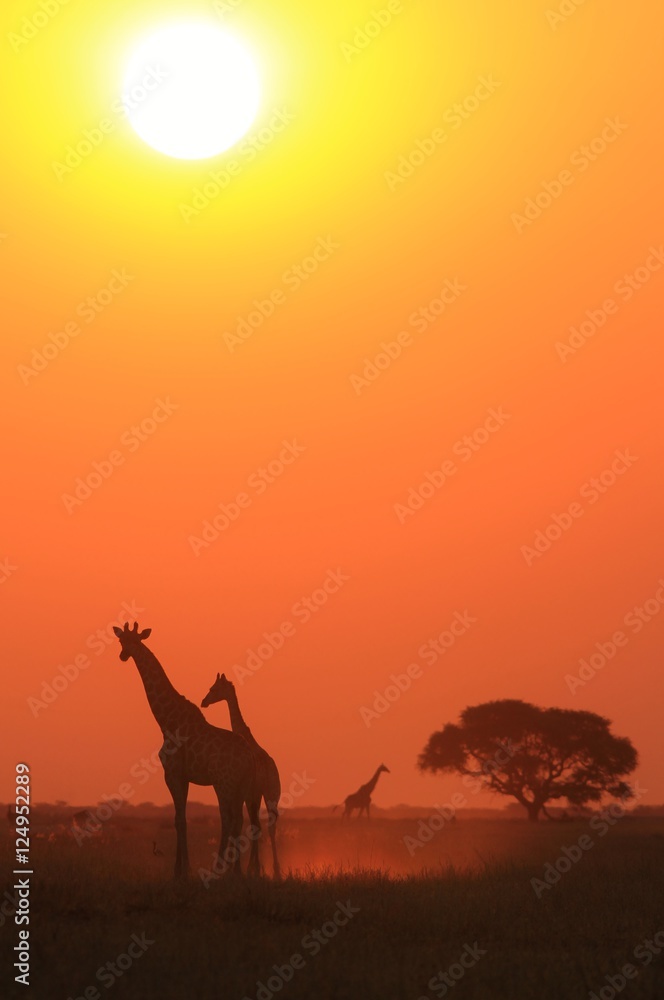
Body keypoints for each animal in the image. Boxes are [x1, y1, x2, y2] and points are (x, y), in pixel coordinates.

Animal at [113, 622, 261, 879]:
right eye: (122, 641)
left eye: (135, 640)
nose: (123, 655)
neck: (166, 720)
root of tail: (249, 758)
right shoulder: (184, 777)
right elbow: (181, 818)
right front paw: (183, 868)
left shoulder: (171, 774)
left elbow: (179, 820)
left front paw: (180, 871)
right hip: (241, 784)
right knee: (238, 819)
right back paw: (235, 872)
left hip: (224, 782)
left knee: (230, 818)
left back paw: (224, 870)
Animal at [201, 672, 282, 880]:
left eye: (213, 688)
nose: (204, 702)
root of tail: (272, 771)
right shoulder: (253, 794)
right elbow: (251, 826)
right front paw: (252, 867)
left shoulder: (247, 793)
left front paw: (242, 867)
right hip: (269, 794)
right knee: (267, 826)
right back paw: (269, 868)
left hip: (263, 794)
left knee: (262, 826)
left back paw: (263, 868)